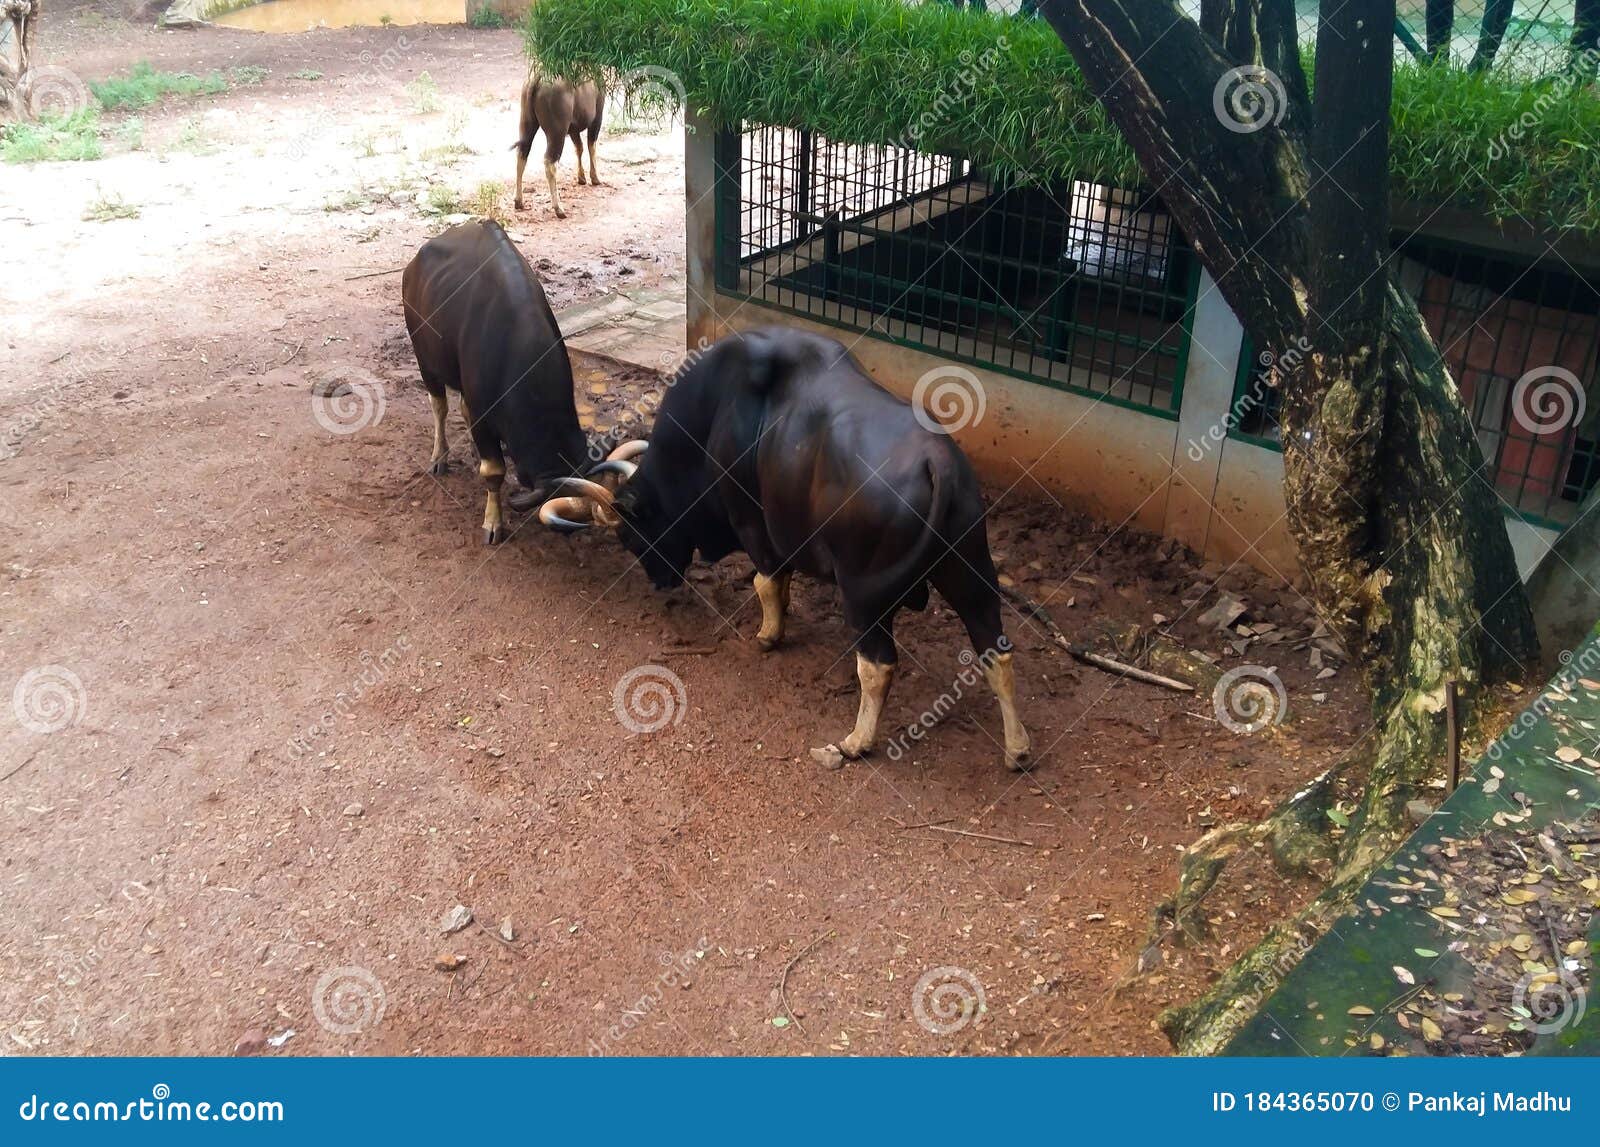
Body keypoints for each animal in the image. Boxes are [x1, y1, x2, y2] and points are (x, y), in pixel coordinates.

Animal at [401, 219, 640, 543]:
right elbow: (493, 472)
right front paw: (493, 523)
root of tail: (413, 265)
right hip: (425, 361)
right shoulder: (482, 412)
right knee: (439, 406)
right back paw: (440, 457)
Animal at [514, 76, 603, 218]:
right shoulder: (597, 119)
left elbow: (579, 147)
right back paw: (559, 208)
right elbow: (591, 146)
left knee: (522, 154)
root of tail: (537, 79)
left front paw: (581, 178)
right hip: (557, 133)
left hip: (526, 124)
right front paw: (595, 178)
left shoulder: (573, 129)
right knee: (550, 162)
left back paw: (519, 201)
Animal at [538, 328, 1031, 771]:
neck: (716, 416)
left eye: (630, 535)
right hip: (970, 575)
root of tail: (937, 464)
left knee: (878, 665)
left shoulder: (752, 526)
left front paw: (767, 636)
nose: (661, 581)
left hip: (865, 595)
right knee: (996, 649)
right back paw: (1017, 750)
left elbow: (765, 580)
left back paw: (855, 742)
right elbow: (782, 580)